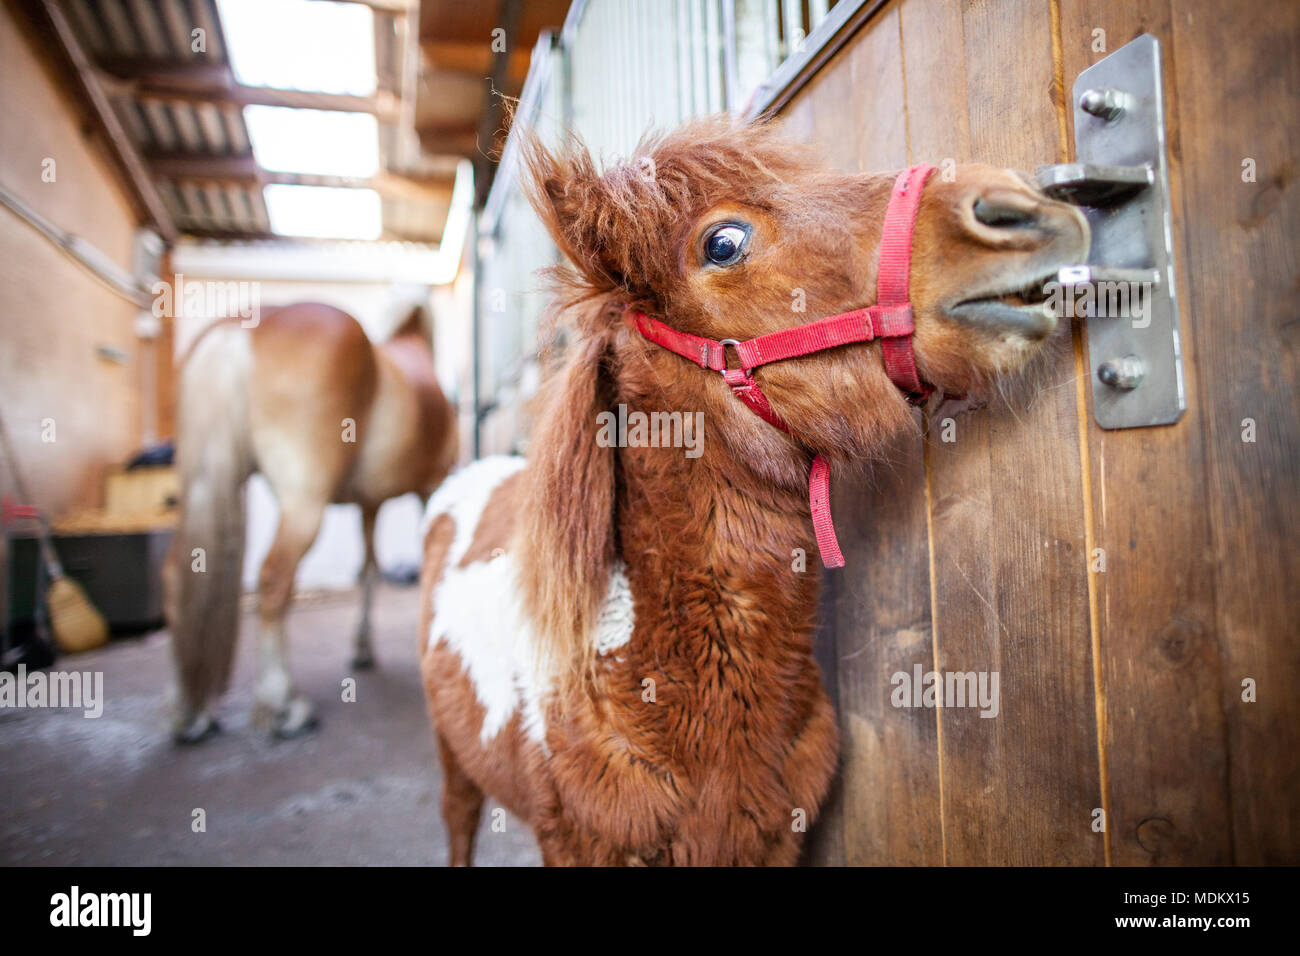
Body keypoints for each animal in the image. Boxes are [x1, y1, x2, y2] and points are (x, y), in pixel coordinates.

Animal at [166, 301, 457, 742]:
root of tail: (240, 331)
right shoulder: (432, 487)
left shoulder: (368, 505)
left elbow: (368, 569)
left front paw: (363, 648)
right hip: (304, 505)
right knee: (274, 578)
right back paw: (282, 705)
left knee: (177, 573)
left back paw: (189, 710)